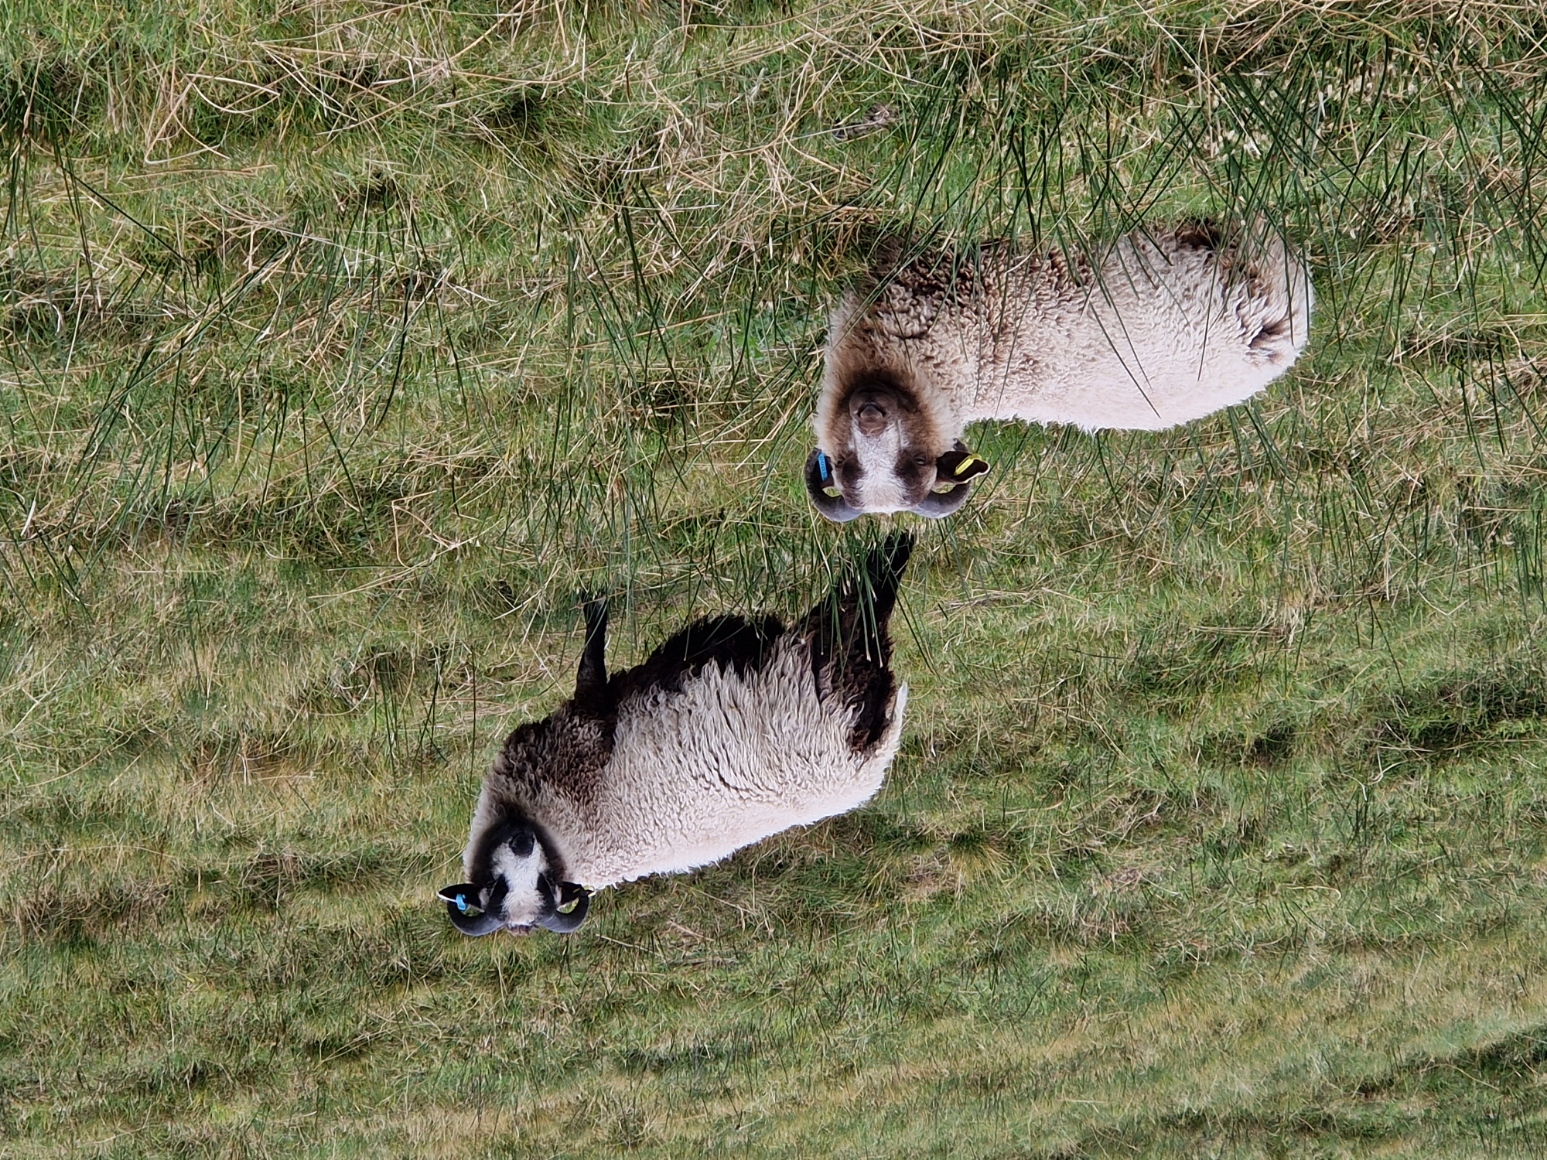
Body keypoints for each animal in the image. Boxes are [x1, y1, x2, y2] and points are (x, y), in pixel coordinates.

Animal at [439, 533, 914, 935]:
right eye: (499, 888)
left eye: (538, 883)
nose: (520, 841)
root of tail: (873, 746)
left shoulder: (585, 724)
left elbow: (590, 664)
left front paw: (595, 608)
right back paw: (893, 552)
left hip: (820, 664)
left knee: (856, 607)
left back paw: (891, 551)